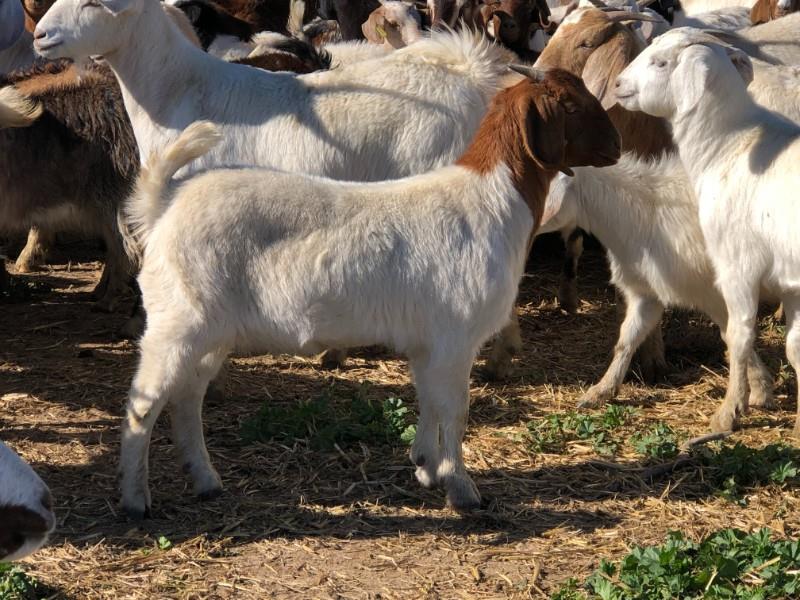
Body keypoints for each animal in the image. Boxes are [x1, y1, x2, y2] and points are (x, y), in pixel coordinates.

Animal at [119, 67, 620, 519]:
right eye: (570, 104)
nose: (617, 146)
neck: (492, 198)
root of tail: (164, 206)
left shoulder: (428, 343)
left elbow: (429, 400)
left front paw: (425, 467)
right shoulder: (456, 337)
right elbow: (455, 410)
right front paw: (462, 489)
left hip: (211, 332)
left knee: (187, 397)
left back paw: (205, 480)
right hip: (177, 321)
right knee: (144, 403)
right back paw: (135, 498)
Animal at [616, 27, 800, 435]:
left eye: (660, 63)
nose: (618, 84)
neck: (729, 146)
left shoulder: (737, 268)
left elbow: (738, 335)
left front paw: (730, 411)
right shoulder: (790, 282)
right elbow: (796, 346)